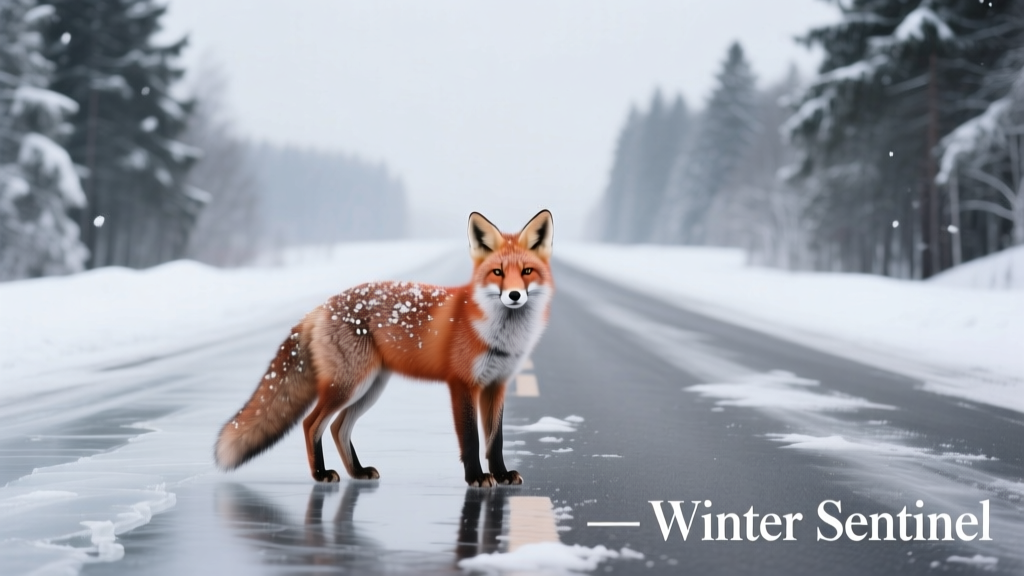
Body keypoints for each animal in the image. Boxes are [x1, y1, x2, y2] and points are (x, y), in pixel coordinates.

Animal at [215, 210, 554, 487]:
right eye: (498, 272)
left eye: (527, 272)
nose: (514, 296)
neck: (499, 336)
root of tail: (321, 307)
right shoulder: (463, 385)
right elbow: (471, 439)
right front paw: (476, 477)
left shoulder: (497, 385)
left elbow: (495, 441)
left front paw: (501, 474)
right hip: (349, 385)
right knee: (312, 424)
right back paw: (320, 474)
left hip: (370, 388)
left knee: (338, 427)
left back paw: (357, 471)